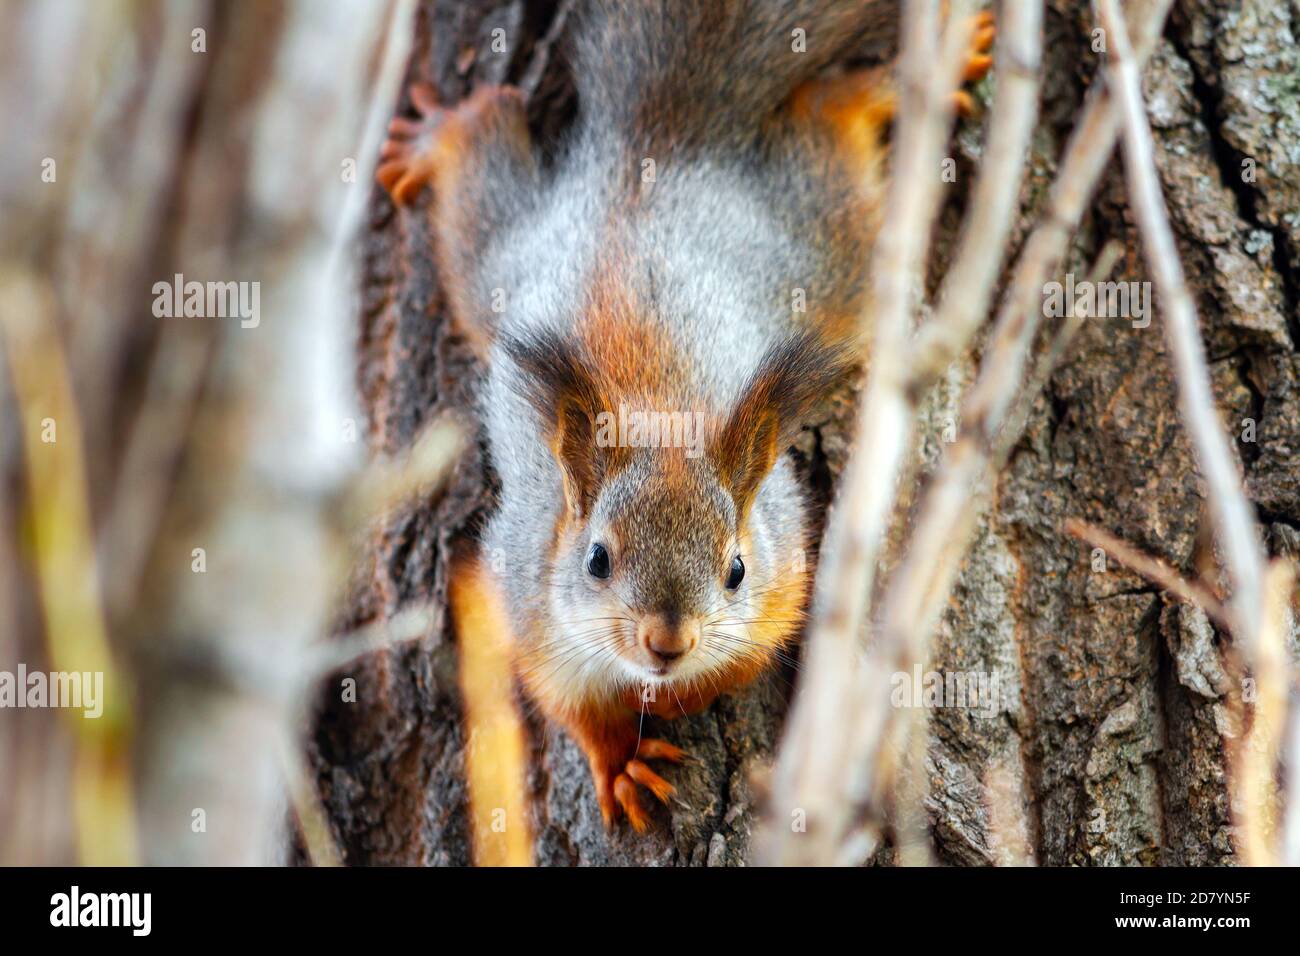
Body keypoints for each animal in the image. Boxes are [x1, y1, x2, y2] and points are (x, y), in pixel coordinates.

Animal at [379, 1, 995, 832]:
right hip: (498, 262)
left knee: (825, 120)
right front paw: (621, 761)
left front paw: (681, 693)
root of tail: (657, 153)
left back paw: (901, 79)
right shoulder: (528, 598)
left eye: (735, 569)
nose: (667, 642)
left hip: (820, 254)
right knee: (483, 156)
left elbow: (748, 656)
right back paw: (441, 135)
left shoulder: (785, 564)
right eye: (596, 560)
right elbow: (569, 705)